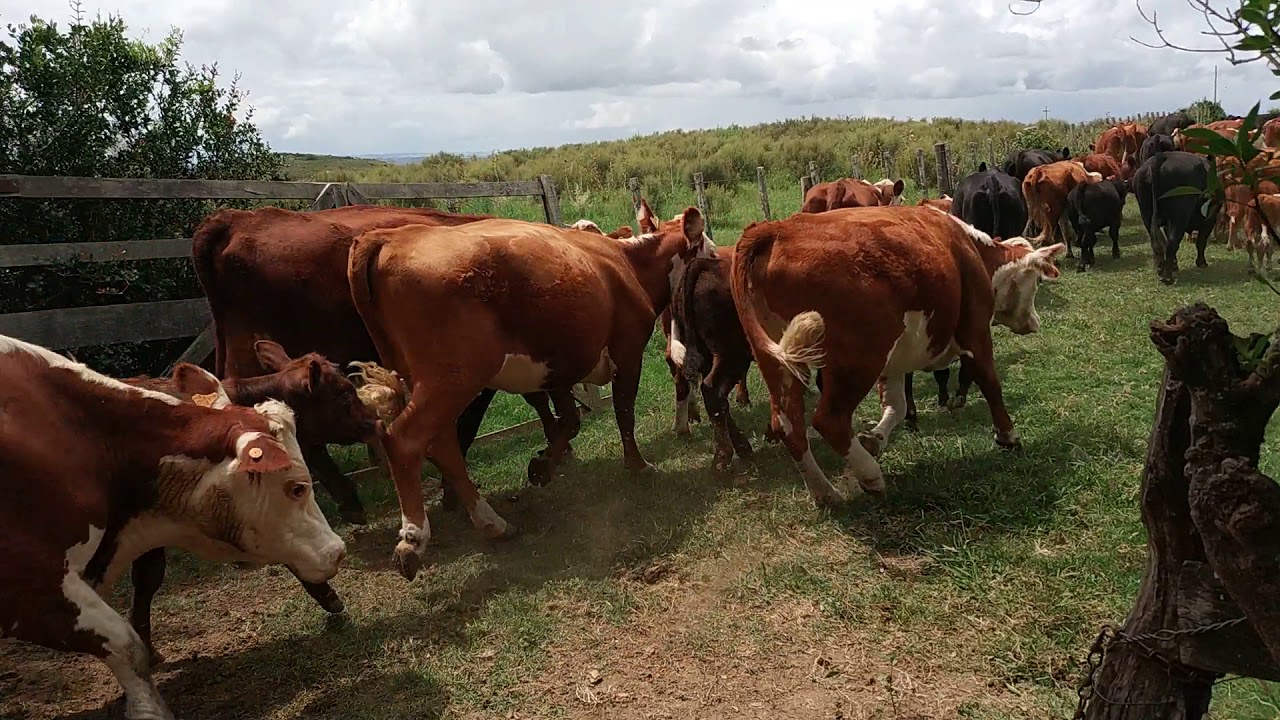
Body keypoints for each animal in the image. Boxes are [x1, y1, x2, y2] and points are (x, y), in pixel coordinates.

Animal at [347, 203, 717, 580]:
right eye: (709, 248)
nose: (719, 261)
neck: (628, 263)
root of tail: (390, 237)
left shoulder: (560, 368)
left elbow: (568, 422)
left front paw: (542, 466)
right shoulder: (626, 352)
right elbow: (624, 412)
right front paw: (637, 465)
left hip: (422, 379)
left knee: (443, 445)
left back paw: (491, 521)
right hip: (452, 378)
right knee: (406, 440)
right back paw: (413, 539)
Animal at [670, 250, 755, 474]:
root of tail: (704, 265)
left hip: (710, 355)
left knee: (716, 397)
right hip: (732, 354)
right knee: (713, 390)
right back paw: (723, 458)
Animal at [729, 206, 1064, 505]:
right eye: (1038, 281)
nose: (1035, 322)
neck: (968, 250)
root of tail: (775, 229)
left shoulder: (895, 361)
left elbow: (897, 404)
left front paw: (874, 439)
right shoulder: (975, 333)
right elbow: (990, 384)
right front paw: (1008, 436)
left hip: (778, 361)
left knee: (789, 426)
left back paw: (826, 494)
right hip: (859, 358)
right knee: (829, 420)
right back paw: (870, 477)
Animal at [1133, 150, 1224, 284]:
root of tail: (1161, 156)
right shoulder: (1209, 220)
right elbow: (1201, 241)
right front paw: (1201, 263)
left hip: (1147, 215)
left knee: (1158, 243)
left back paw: (1162, 270)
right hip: (1179, 218)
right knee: (1171, 244)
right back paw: (1167, 277)